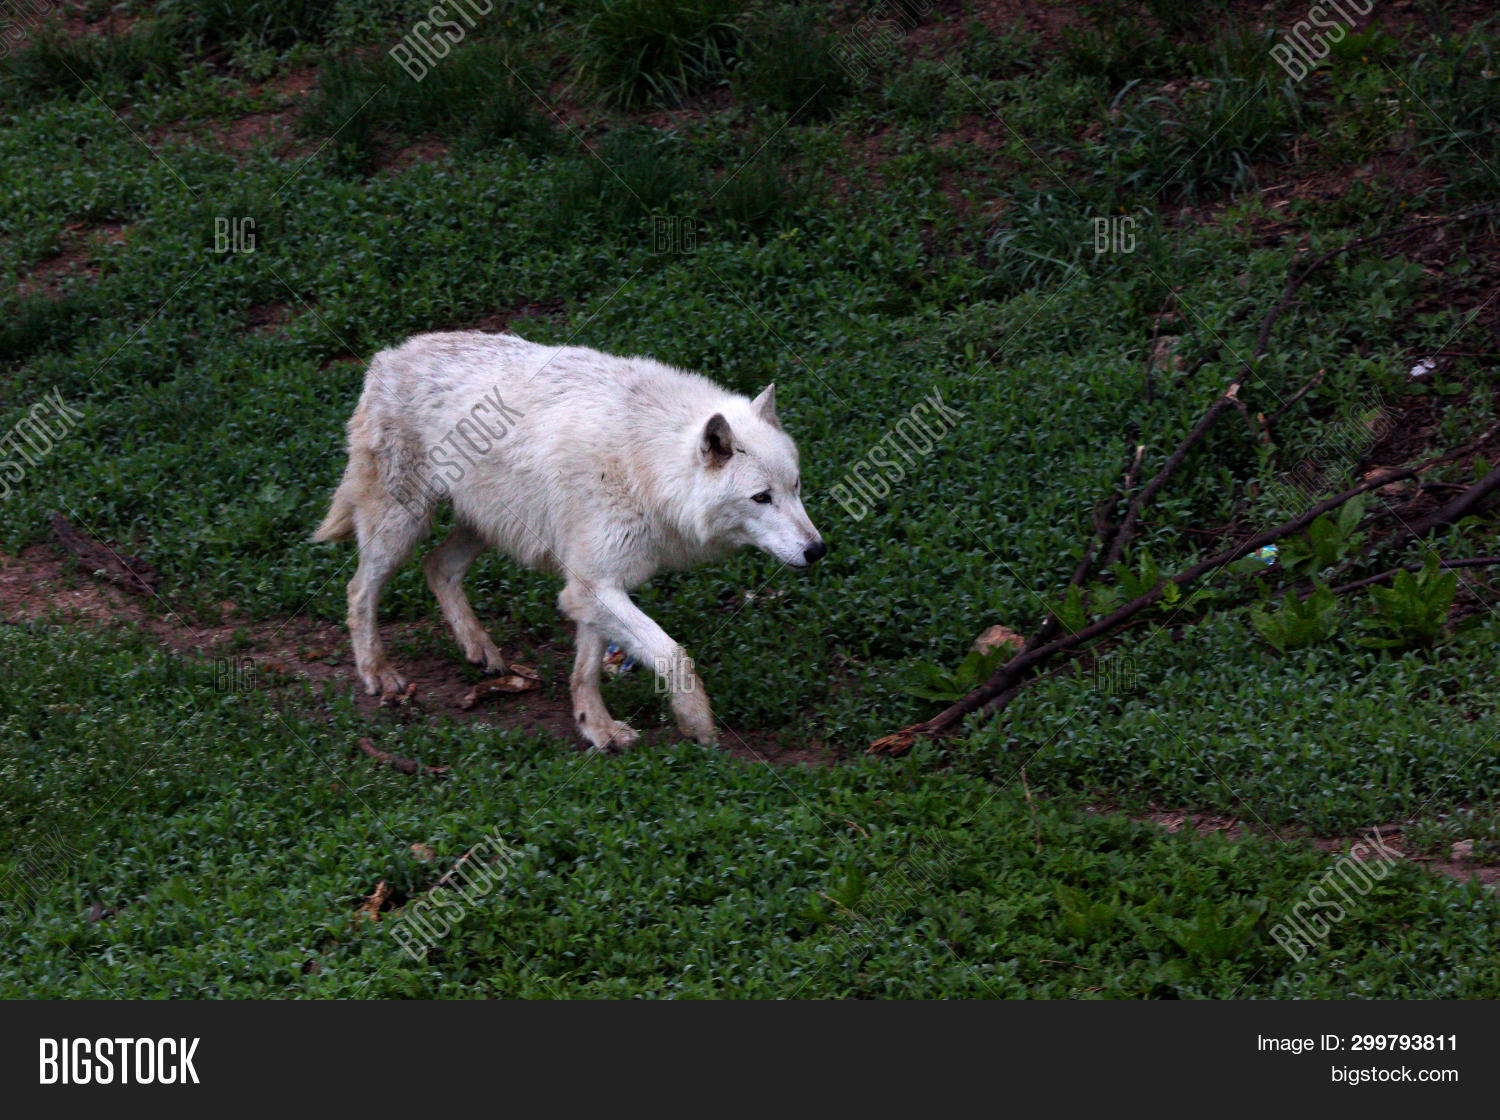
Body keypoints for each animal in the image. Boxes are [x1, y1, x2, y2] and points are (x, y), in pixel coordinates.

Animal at [313, 332, 825, 751]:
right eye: (761, 498)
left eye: (796, 486)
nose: (818, 550)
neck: (646, 463)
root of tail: (386, 358)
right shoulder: (593, 583)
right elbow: (672, 653)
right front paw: (697, 724)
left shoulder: (594, 581)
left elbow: (587, 671)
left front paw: (595, 727)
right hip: (403, 525)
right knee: (359, 591)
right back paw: (379, 673)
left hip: (486, 525)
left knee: (438, 567)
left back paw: (481, 651)